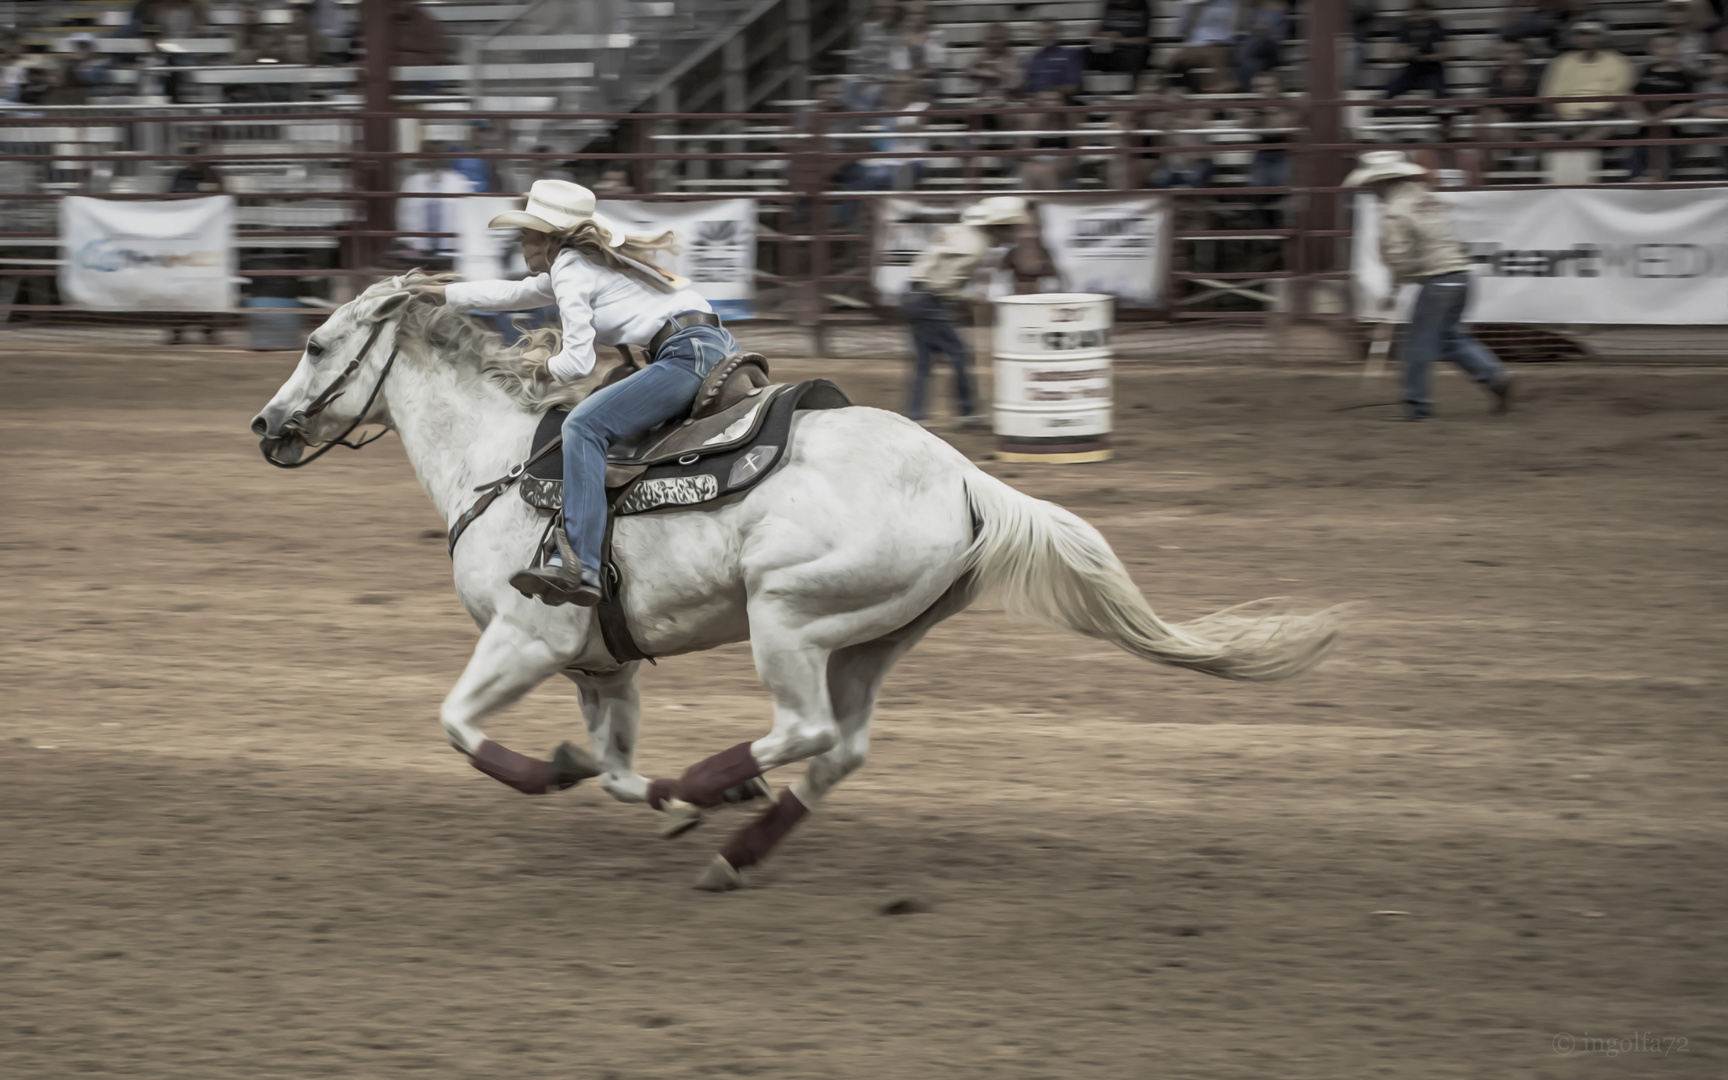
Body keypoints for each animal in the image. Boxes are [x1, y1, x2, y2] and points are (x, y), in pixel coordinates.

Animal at [250, 273, 1340, 891]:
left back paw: (712, 787)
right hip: (873, 635)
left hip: (790, 618)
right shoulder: (604, 666)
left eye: (314, 343)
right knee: (840, 747)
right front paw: (658, 802)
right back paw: (731, 841)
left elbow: (460, 728)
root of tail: (967, 477)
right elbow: (611, 763)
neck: (500, 462)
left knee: (807, 729)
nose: (265, 427)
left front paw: (570, 774)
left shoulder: (527, 640)